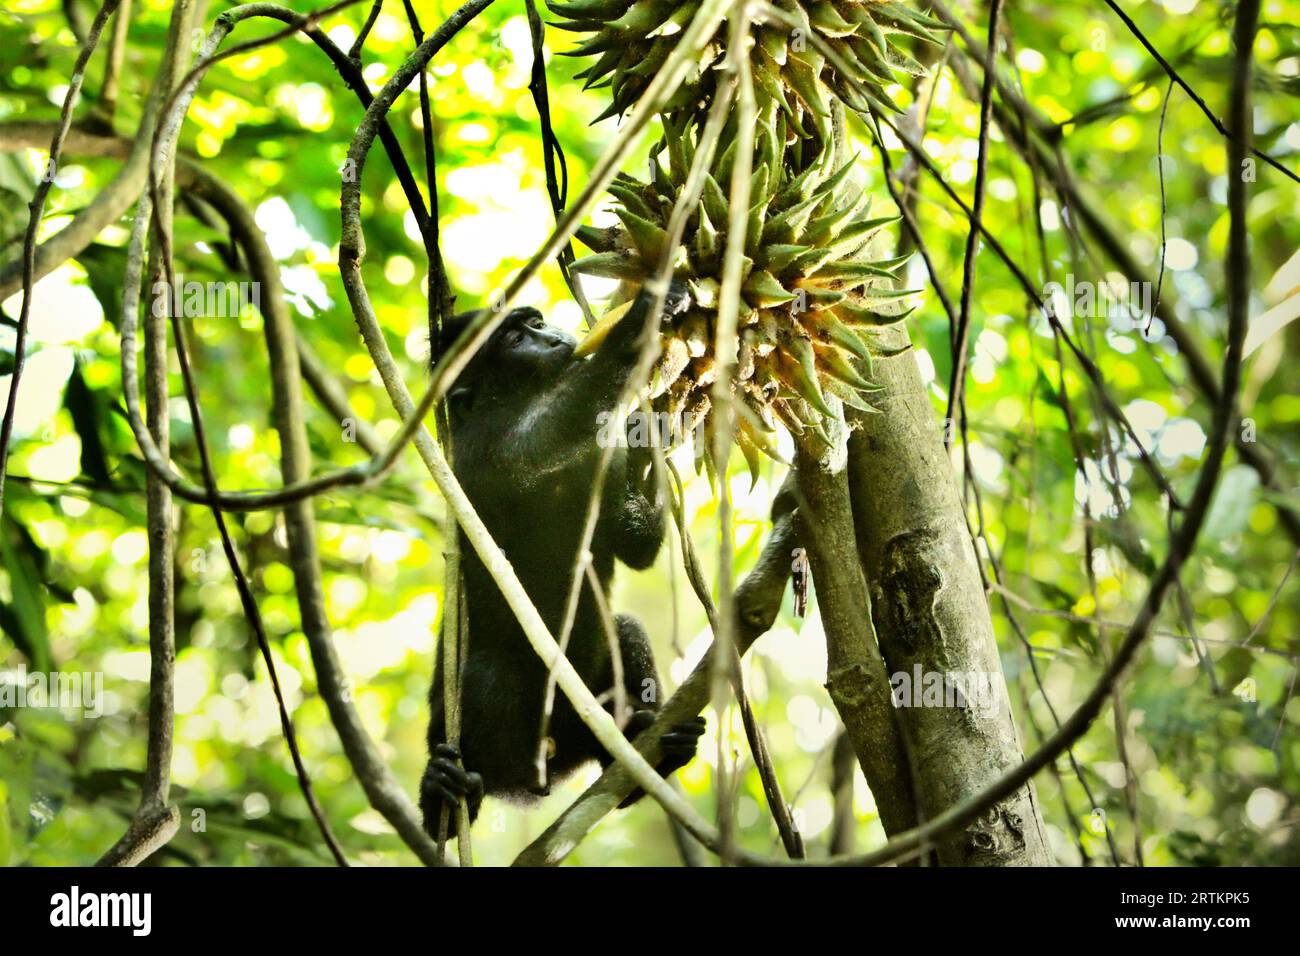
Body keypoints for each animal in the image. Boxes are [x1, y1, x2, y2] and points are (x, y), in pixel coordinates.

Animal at [420, 282, 706, 837]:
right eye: (514, 339)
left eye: (535, 322)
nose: (552, 335)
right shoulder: (484, 446)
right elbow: (539, 443)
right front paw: (644, 314)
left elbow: (635, 548)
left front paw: (649, 433)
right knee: (483, 676)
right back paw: (445, 790)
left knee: (625, 630)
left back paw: (649, 757)